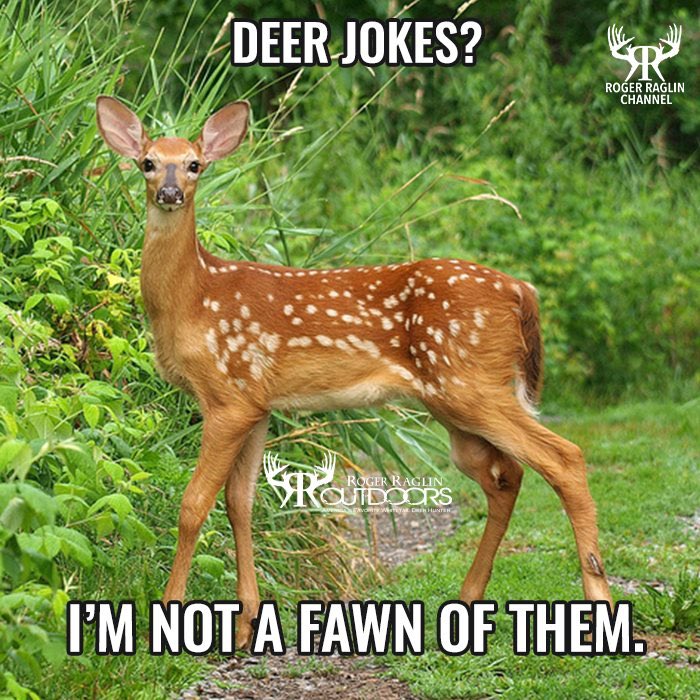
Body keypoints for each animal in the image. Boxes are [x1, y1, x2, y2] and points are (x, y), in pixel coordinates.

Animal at [95, 95, 612, 648]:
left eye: (195, 164)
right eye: (147, 162)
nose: (169, 192)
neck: (193, 298)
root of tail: (521, 290)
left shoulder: (228, 394)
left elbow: (194, 506)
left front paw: (169, 616)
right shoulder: (257, 403)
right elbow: (240, 503)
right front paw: (245, 625)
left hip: (471, 383)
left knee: (564, 458)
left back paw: (597, 602)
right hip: (457, 404)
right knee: (507, 475)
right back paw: (469, 597)